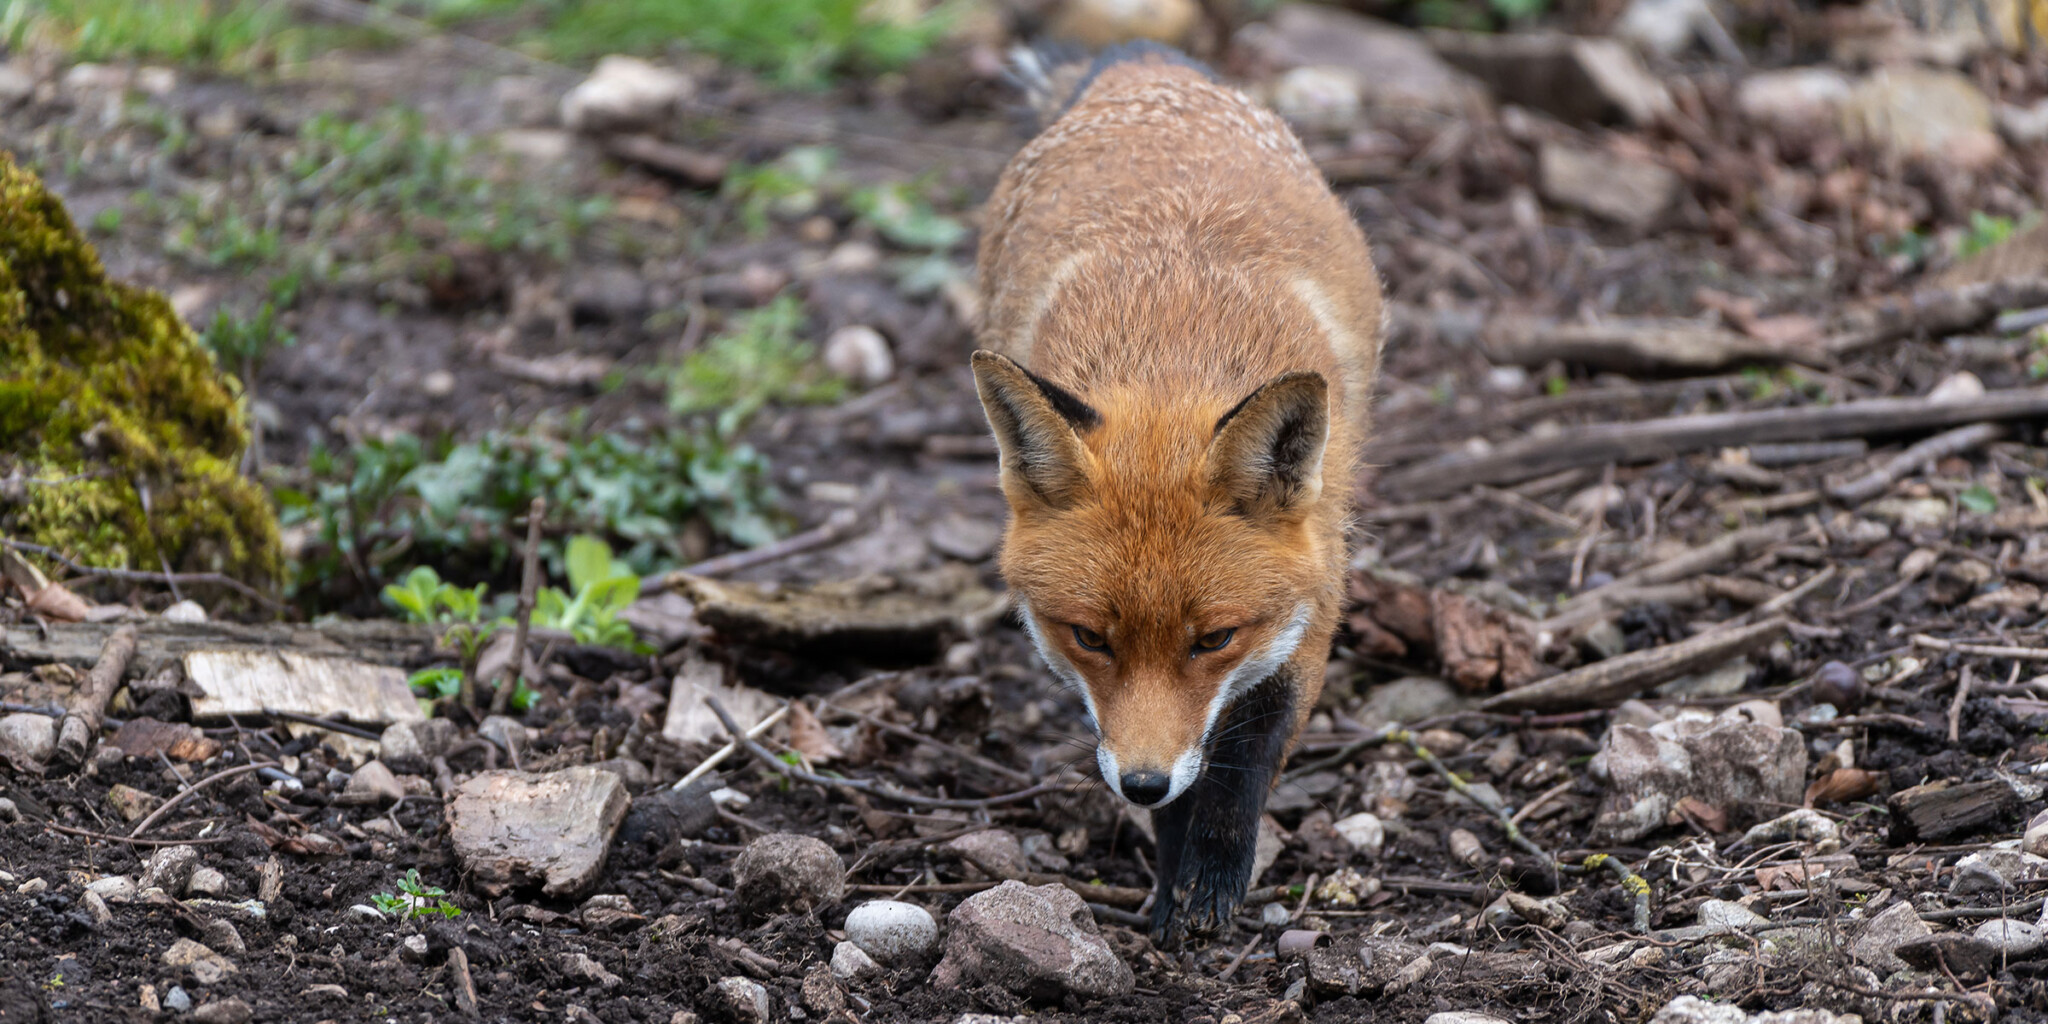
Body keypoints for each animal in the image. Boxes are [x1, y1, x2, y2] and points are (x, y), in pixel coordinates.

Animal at [972, 42, 1384, 944]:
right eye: (1090, 638)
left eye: (1215, 639)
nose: (1142, 783)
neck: (1174, 359)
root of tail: (1144, 69)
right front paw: (1170, 877)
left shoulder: (1314, 587)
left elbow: (1245, 755)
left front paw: (1217, 873)